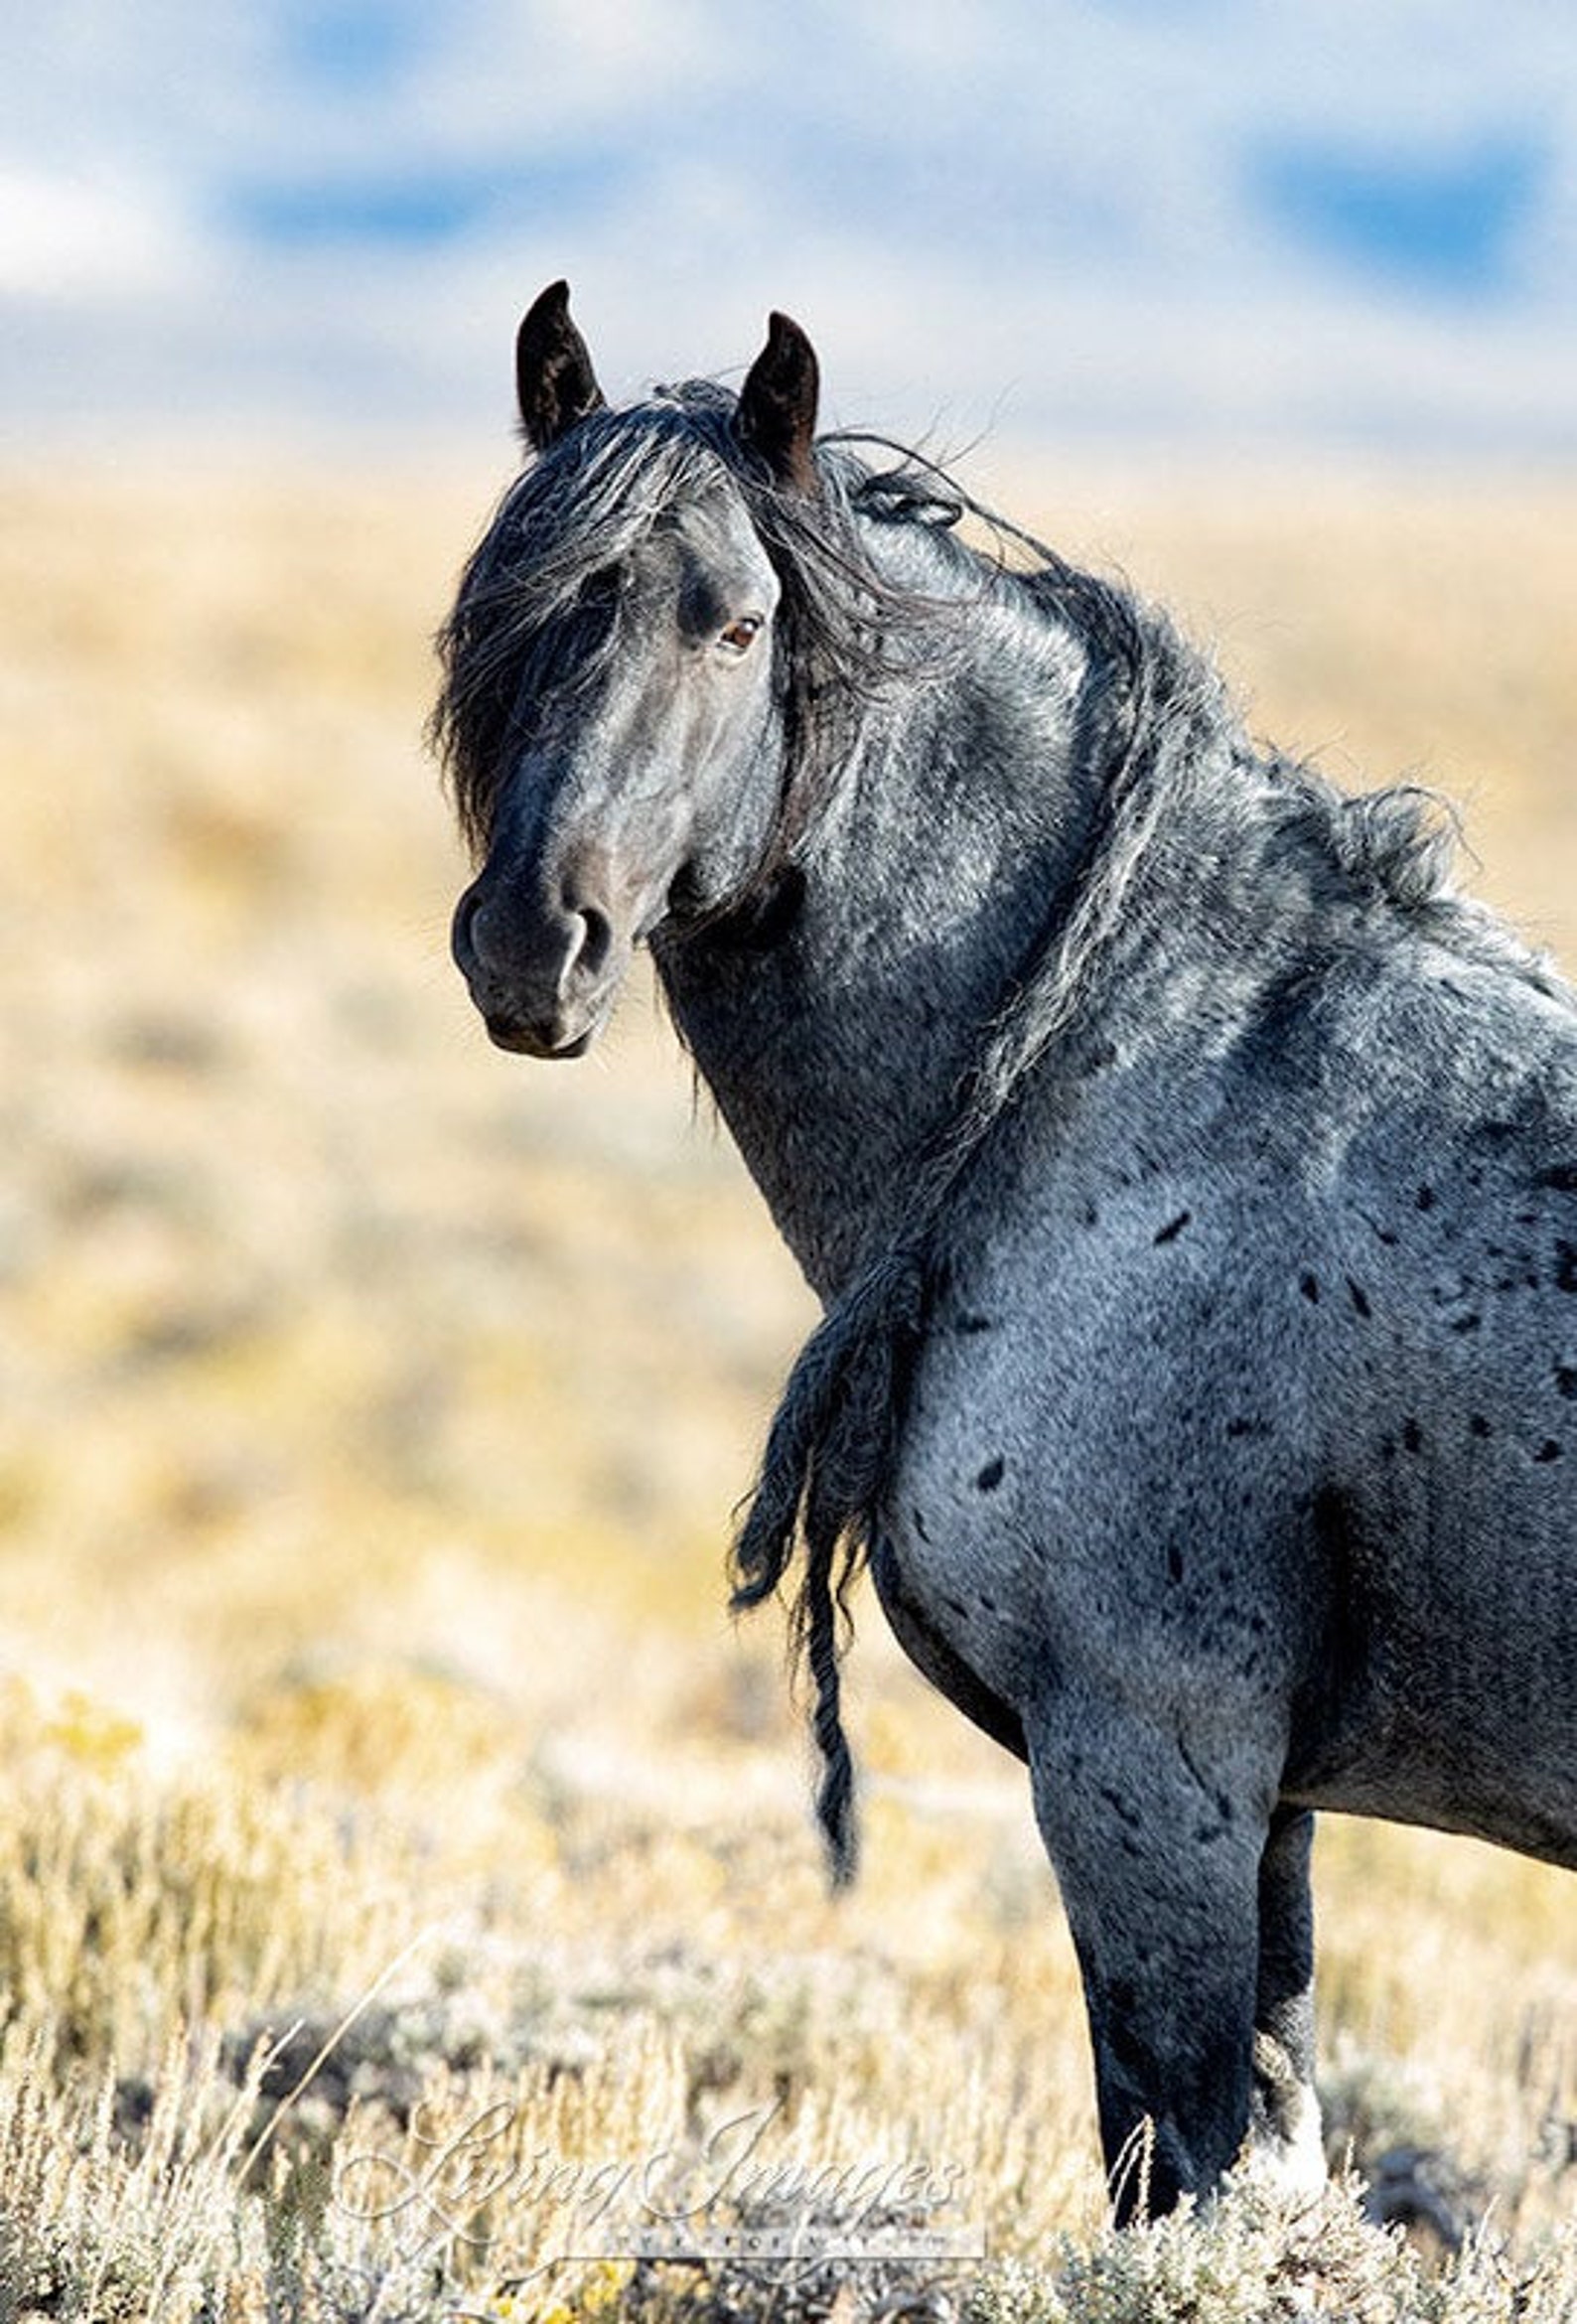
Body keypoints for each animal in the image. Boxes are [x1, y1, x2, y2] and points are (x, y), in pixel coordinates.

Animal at [434, 282, 1577, 2220]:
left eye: (736, 623)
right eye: (504, 609)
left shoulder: (1148, 1771)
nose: (533, 942)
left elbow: (1171, 2154)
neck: (1128, 1061)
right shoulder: (1264, 1812)